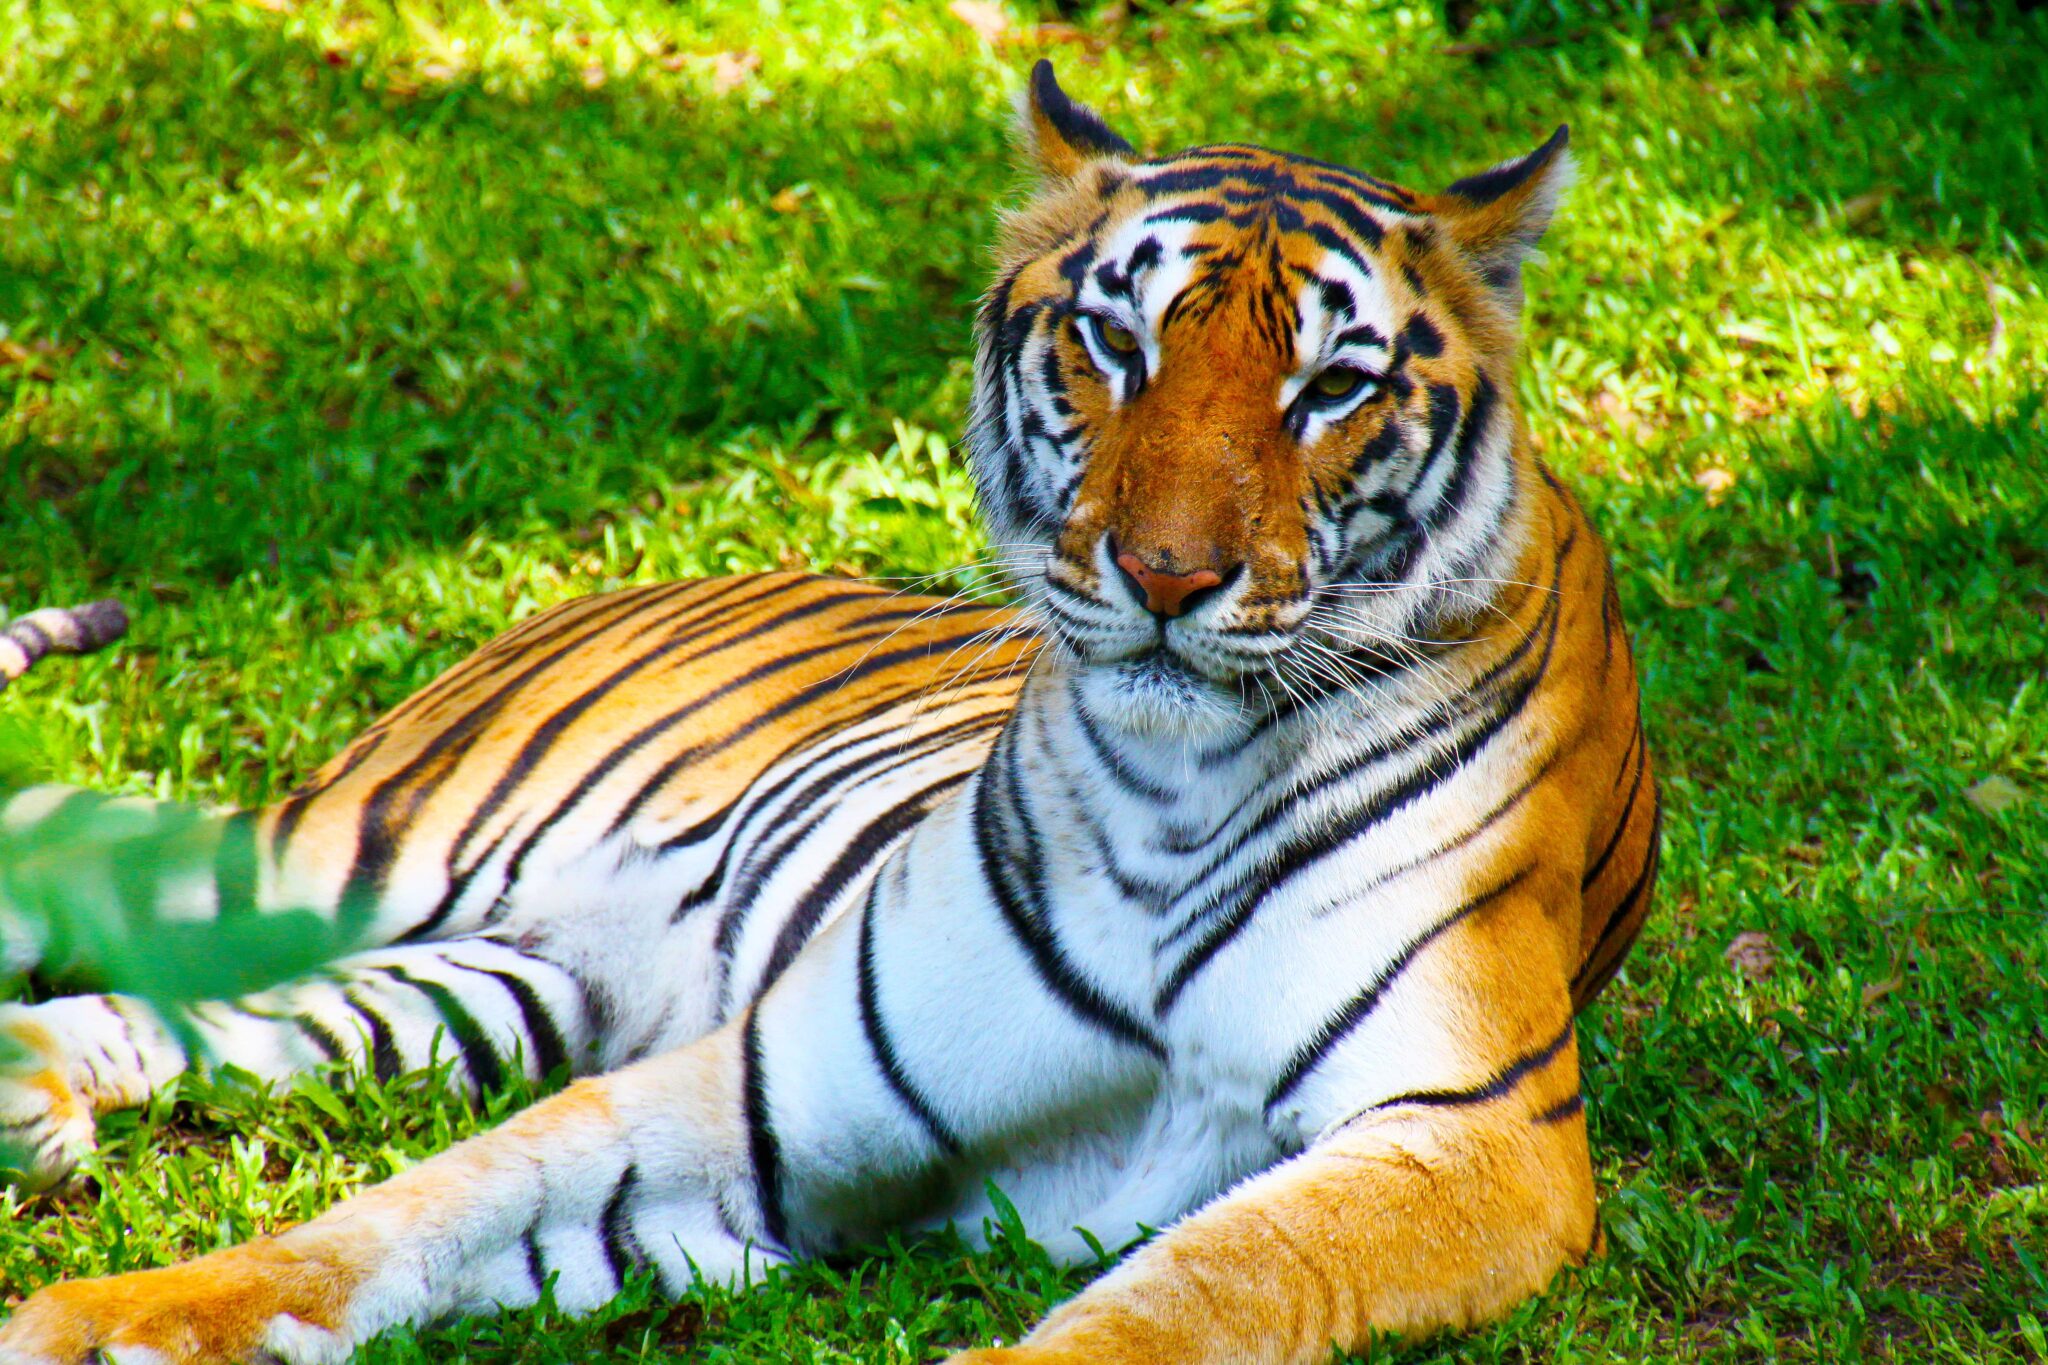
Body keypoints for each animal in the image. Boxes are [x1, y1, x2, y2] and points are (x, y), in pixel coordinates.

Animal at [0, 61, 1658, 1365]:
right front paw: (104, 1319)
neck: (1170, 788)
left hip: (483, 988)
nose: (1168, 574)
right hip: (337, 859)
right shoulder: (784, 1083)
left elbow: (1202, 1292)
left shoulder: (1464, 1134)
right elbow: (415, 1206)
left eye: (1331, 388)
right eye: (1116, 344)